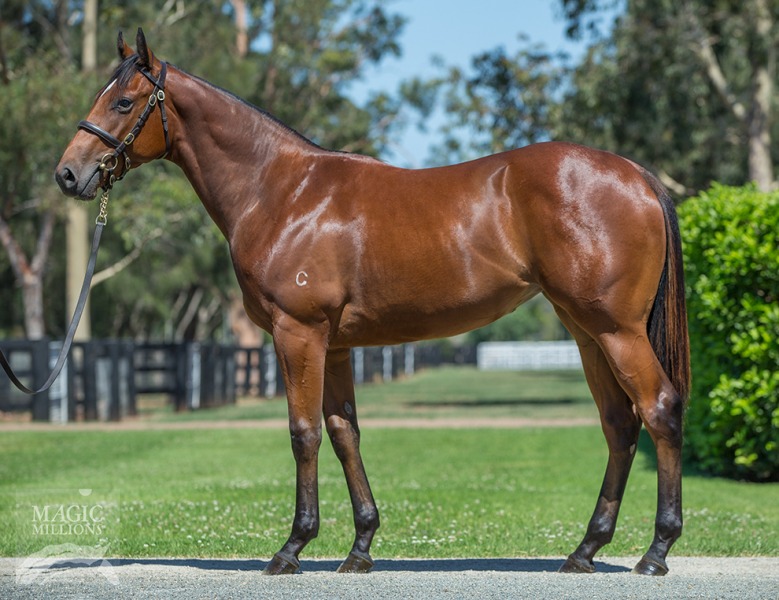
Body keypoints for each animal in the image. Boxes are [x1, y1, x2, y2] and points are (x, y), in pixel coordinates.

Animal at [56, 29, 690, 577]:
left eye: (124, 101)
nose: (68, 174)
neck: (281, 191)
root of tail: (636, 175)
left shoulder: (299, 333)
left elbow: (304, 434)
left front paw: (292, 548)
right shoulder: (333, 346)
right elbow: (344, 434)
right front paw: (360, 546)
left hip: (616, 330)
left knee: (658, 409)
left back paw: (656, 551)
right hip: (586, 332)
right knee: (619, 423)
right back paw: (586, 549)